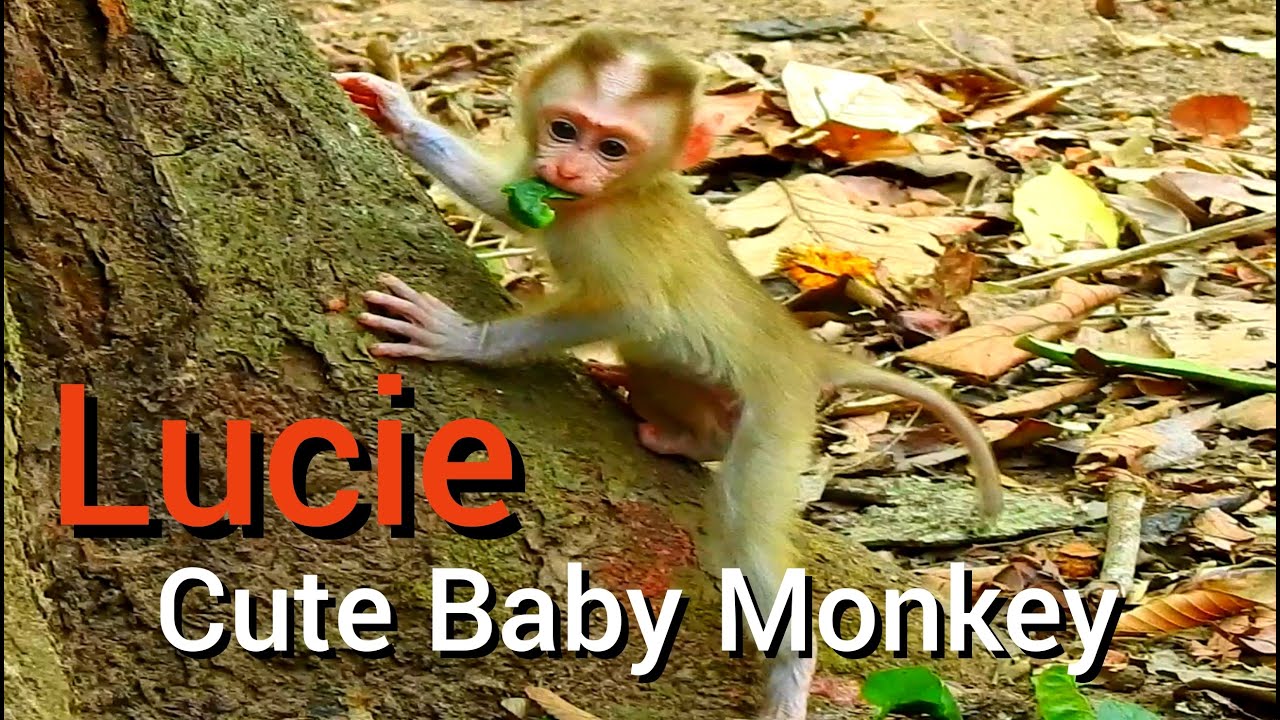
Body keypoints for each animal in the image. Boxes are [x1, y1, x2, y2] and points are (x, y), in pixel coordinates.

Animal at [335, 28, 1002, 720]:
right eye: (564, 129)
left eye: (612, 148)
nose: (569, 170)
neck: (615, 197)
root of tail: (803, 349)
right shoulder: (554, 200)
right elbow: (511, 202)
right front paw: (398, 112)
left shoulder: (624, 243)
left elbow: (635, 313)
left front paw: (465, 340)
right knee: (658, 367)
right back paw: (685, 432)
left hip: (777, 413)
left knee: (742, 510)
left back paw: (792, 666)